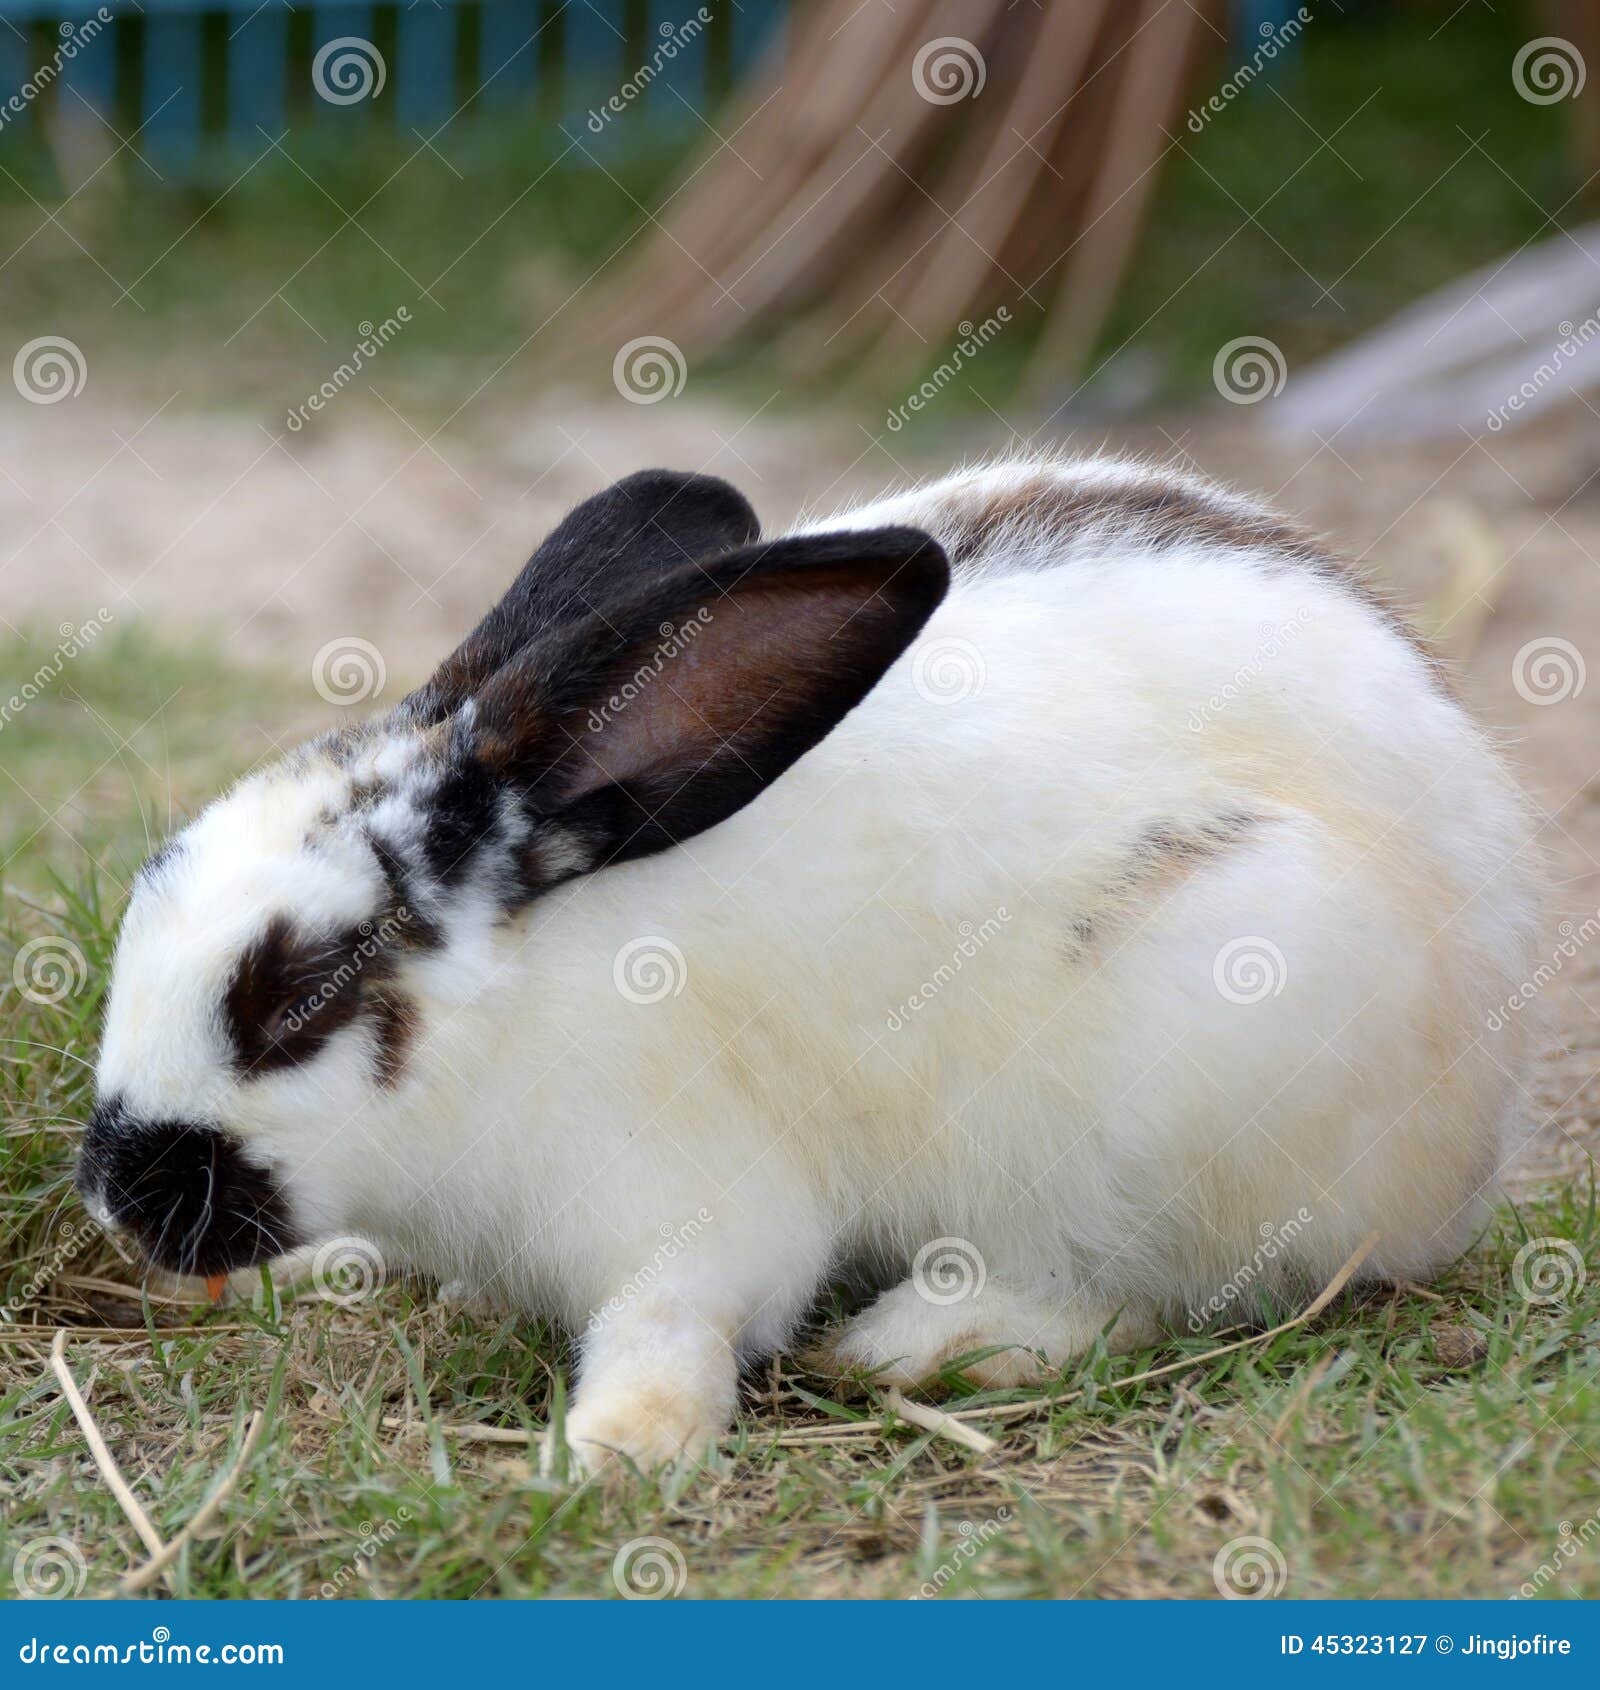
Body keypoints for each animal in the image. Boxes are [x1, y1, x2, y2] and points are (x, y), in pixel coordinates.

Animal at [77, 454, 1539, 1474]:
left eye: (299, 997)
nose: (114, 1195)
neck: (520, 1006)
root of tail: (1480, 1120)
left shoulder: (696, 1210)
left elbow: (678, 1327)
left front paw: (609, 1454)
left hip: (1198, 1067)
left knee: (1148, 1291)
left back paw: (925, 1338)